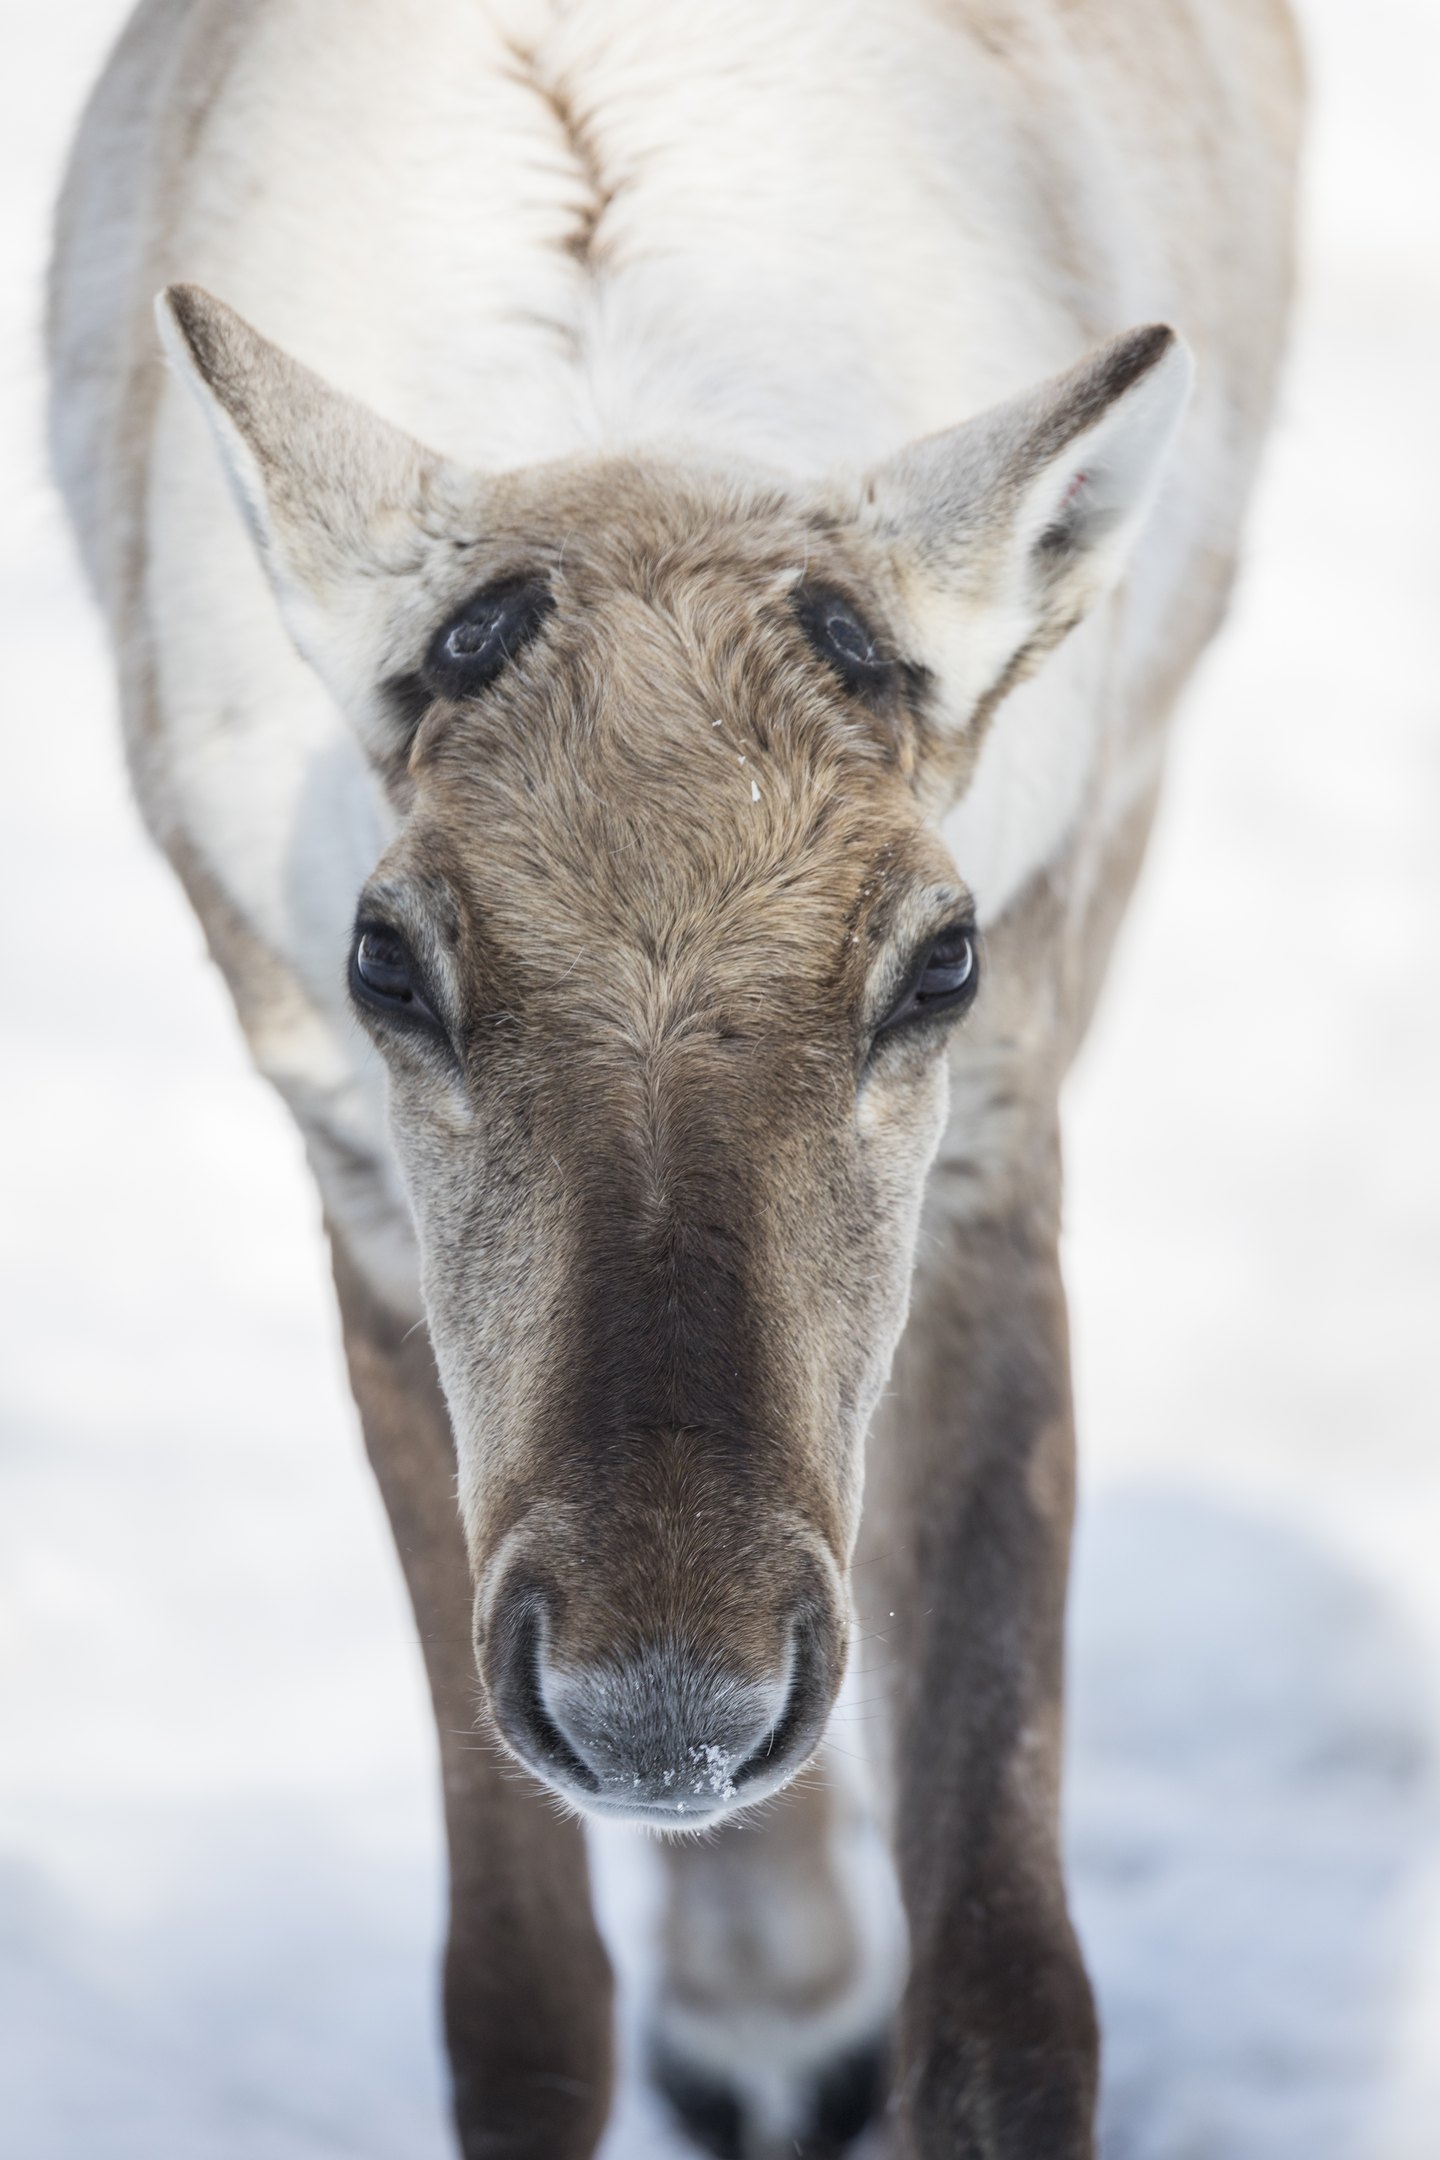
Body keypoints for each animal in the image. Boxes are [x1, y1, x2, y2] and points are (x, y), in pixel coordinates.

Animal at [47, 1, 1301, 2154]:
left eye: (940, 958)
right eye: (387, 961)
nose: (664, 1696)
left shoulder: (1003, 1124)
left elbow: (1009, 2006)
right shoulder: (350, 1176)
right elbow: (522, 2005)